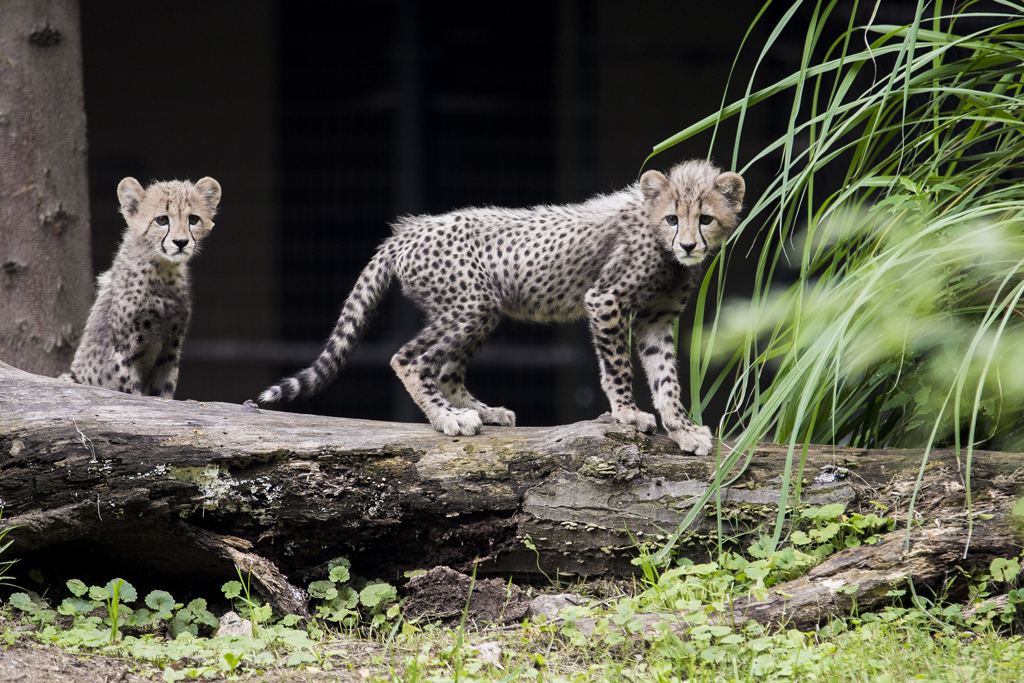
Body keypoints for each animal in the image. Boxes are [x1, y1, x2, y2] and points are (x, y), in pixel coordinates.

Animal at [67, 176, 221, 397]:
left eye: (193, 219)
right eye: (162, 220)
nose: (181, 242)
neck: (163, 272)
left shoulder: (170, 351)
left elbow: (165, 392)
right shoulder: (124, 352)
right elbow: (133, 392)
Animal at [259, 159, 744, 455]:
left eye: (704, 219)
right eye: (672, 218)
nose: (688, 245)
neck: (662, 247)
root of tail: (406, 230)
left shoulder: (656, 319)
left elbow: (667, 379)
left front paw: (682, 429)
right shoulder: (604, 299)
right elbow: (619, 367)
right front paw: (626, 413)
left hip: (481, 310)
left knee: (447, 369)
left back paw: (481, 411)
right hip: (470, 305)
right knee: (409, 359)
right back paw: (449, 419)